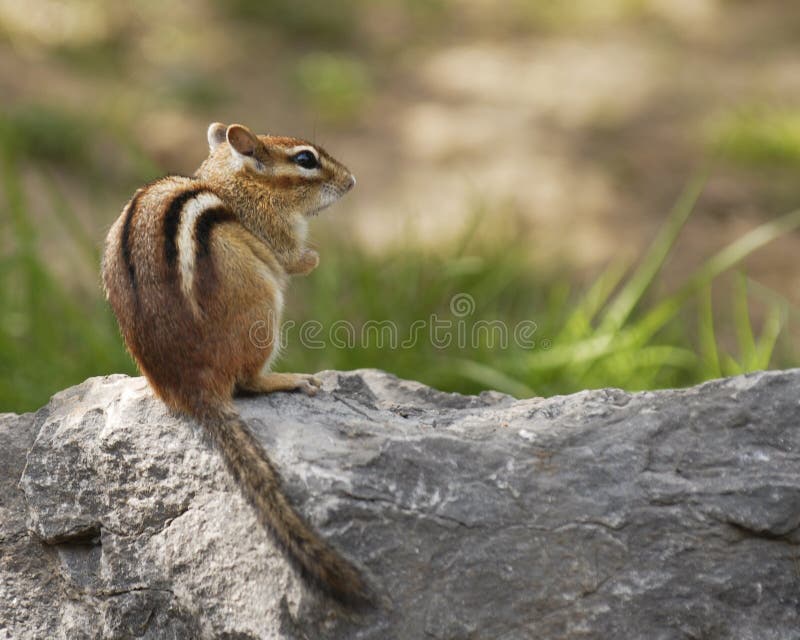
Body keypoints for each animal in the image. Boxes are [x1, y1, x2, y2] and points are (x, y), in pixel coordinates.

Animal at [101, 122, 371, 609]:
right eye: (306, 160)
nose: (352, 180)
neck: (228, 179)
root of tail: (194, 389)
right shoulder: (271, 228)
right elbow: (292, 257)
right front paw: (314, 258)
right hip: (263, 302)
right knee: (246, 381)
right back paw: (290, 379)